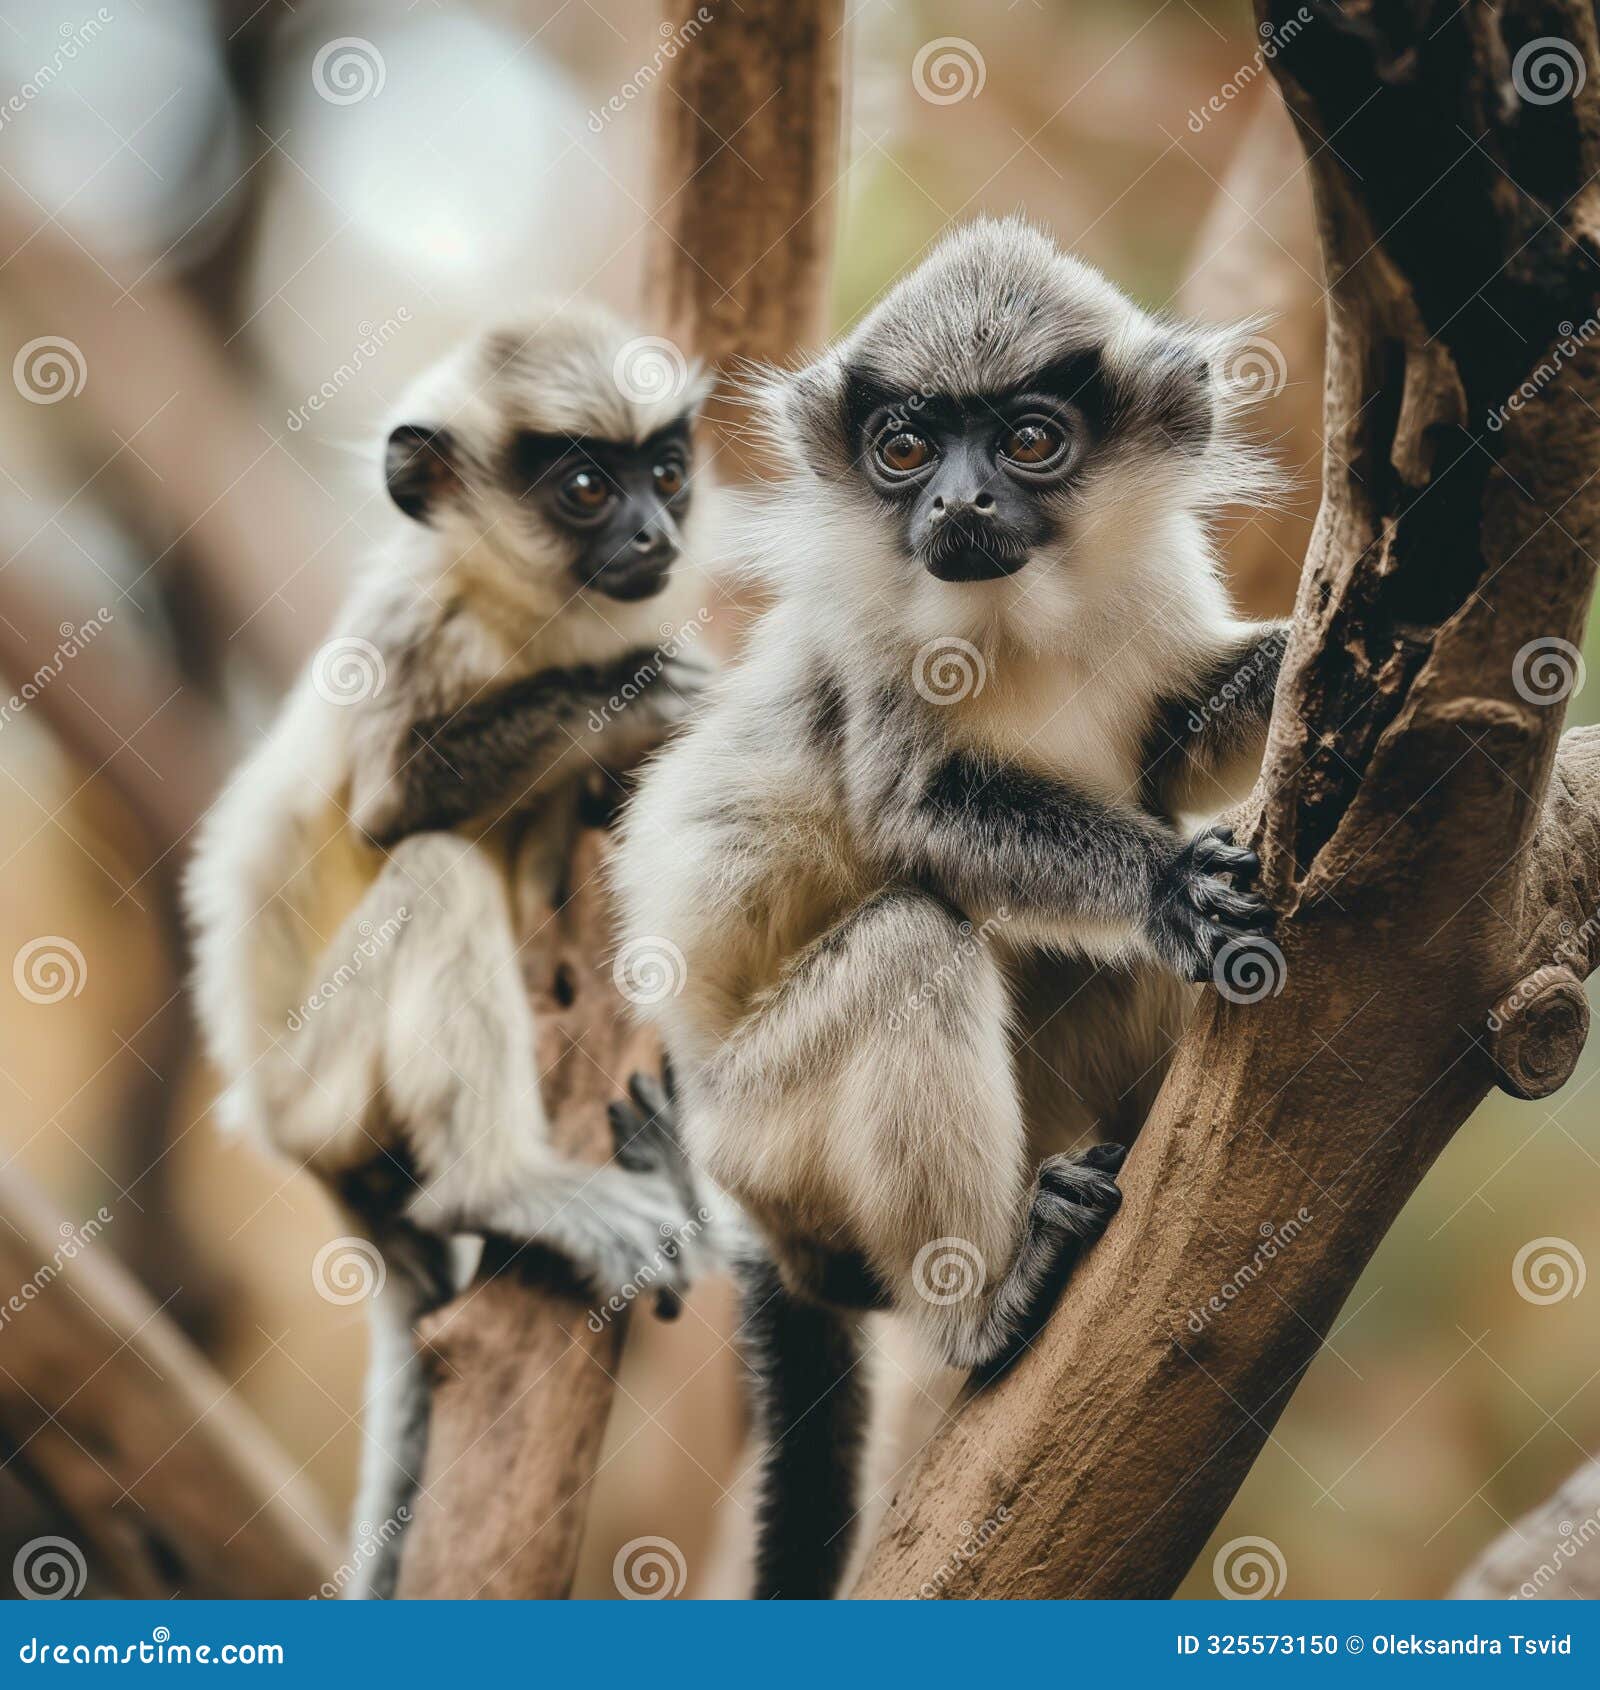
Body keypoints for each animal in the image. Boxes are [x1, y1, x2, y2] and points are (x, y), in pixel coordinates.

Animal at [184, 304, 717, 1598]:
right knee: (434, 872)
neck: (526, 626)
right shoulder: (410, 630)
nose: (655, 532)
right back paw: (503, 1180)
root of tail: (277, 1127)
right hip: (320, 1080)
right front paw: (632, 694)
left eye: (668, 473)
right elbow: (390, 812)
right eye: (586, 487)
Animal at [608, 217, 1289, 1598]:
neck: (1017, 617)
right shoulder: (870, 638)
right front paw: (1164, 884)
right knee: (916, 945)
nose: (957, 504)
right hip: (761, 1117)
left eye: (1027, 440)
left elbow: (1185, 743)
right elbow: (912, 815)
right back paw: (983, 1303)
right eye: (906, 448)